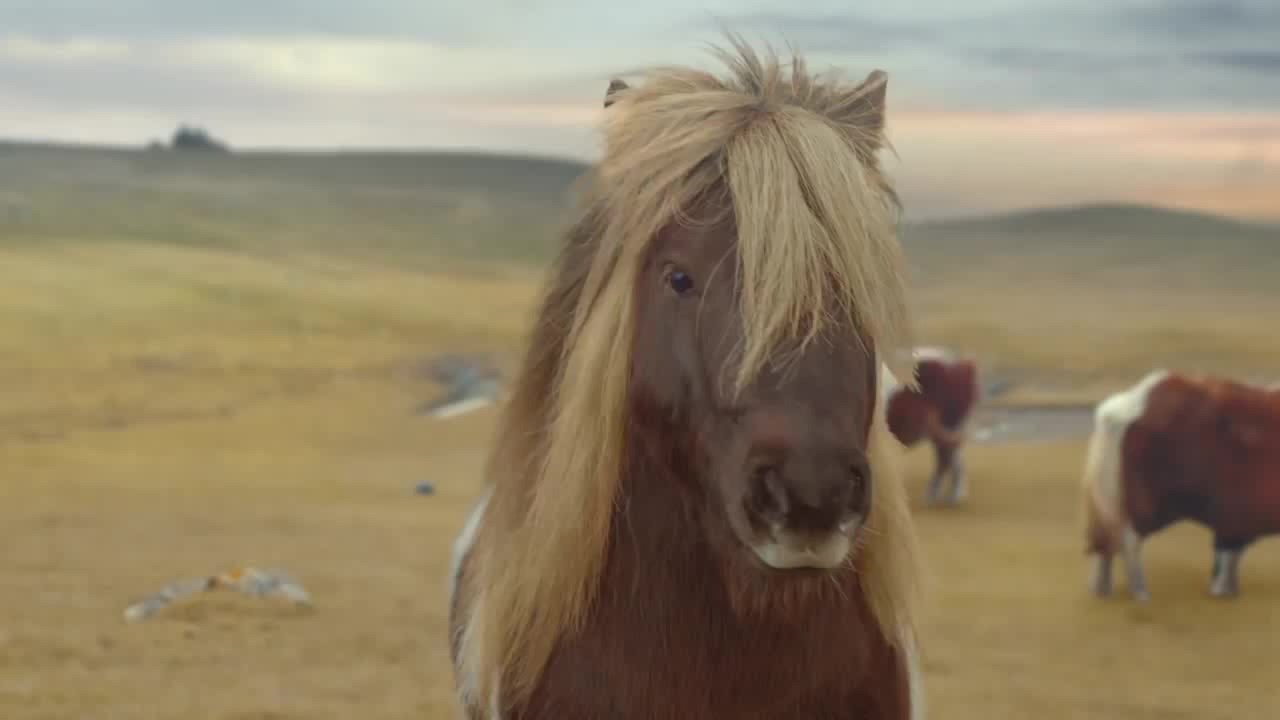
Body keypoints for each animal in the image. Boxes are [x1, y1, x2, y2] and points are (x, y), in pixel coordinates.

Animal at [1081, 369, 1280, 601]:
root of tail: (1134, 402)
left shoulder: (1234, 521)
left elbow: (1227, 555)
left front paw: (1224, 590)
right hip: (1144, 505)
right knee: (1128, 541)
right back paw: (1141, 593)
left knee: (1107, 544)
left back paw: (1103, 590)